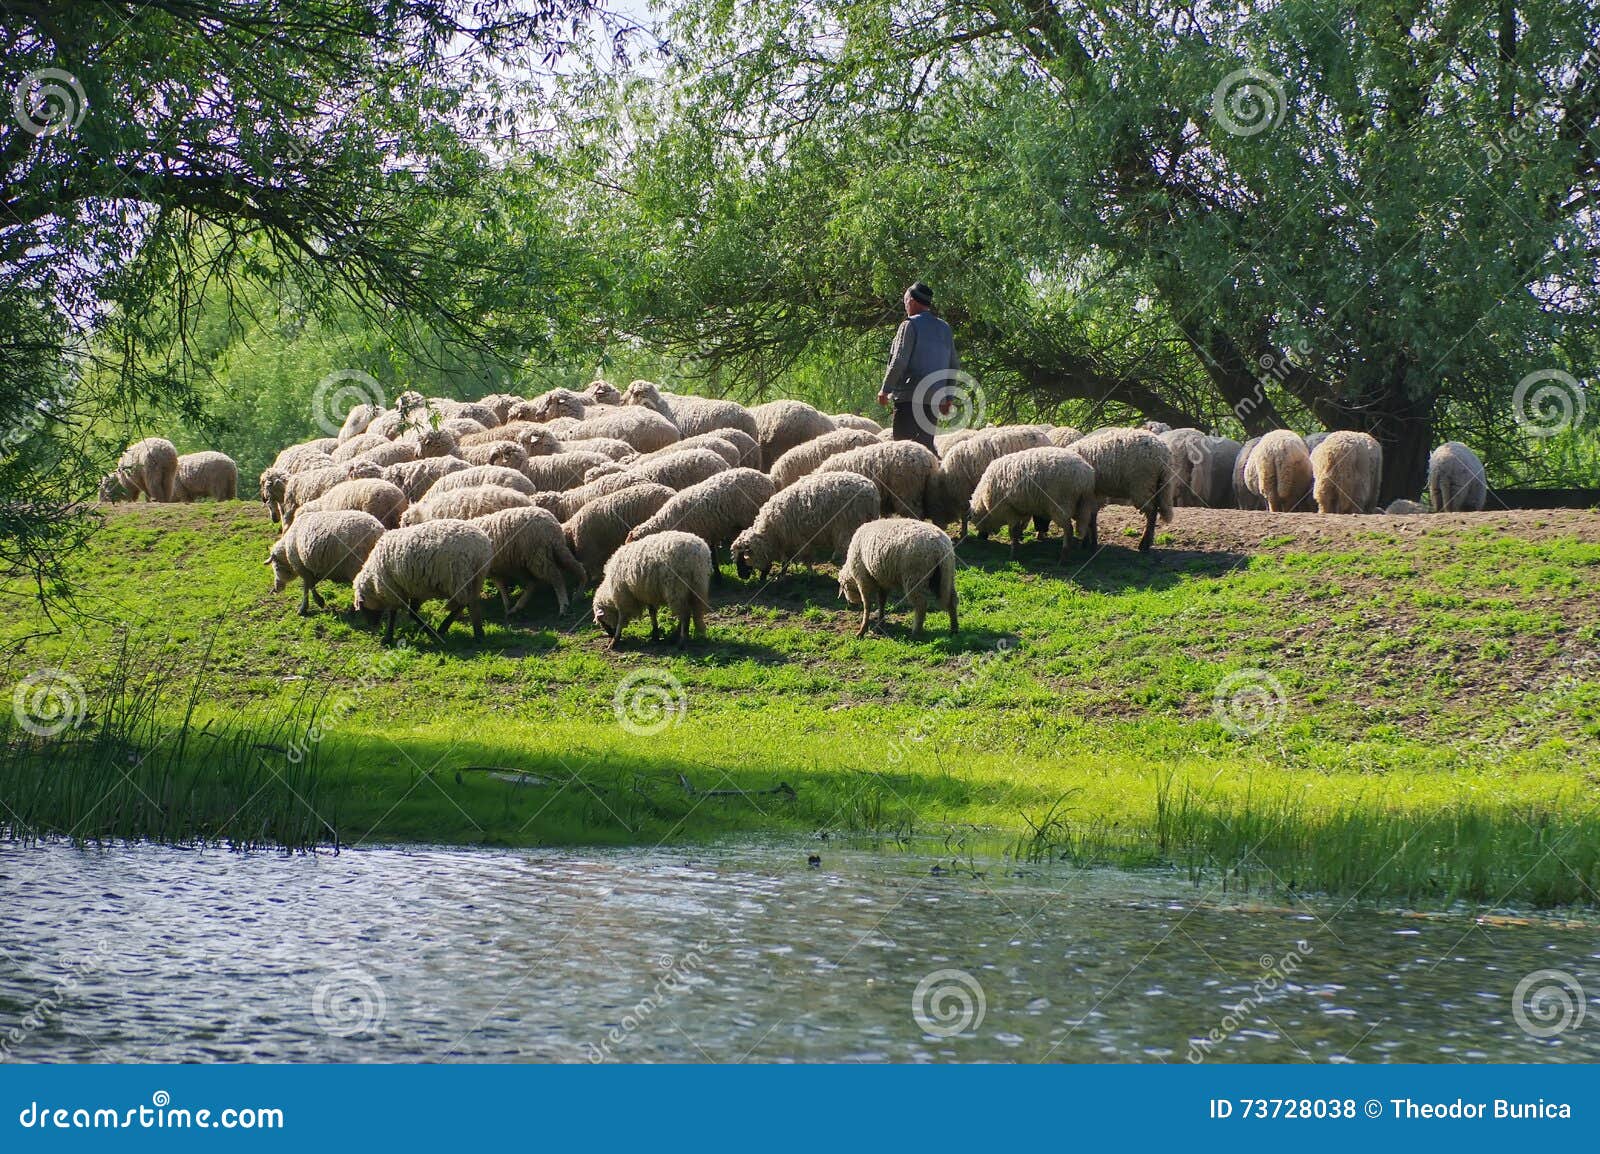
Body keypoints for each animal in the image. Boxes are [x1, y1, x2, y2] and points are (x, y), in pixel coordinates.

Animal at [352, 518, 493, 643]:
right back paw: (476, 633)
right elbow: (412, 613)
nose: (372, 627)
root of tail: (481, 547)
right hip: (475, 578)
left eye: (363, 609)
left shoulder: (393, 589)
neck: (373, 582)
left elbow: (395, 613)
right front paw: (428, 632)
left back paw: (450, 628)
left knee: (465, 602)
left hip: (459, 577)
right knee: (470, 602)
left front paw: (388, 637)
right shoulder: (416, 587)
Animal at [730, 471, 881, 580]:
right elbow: (786, 560)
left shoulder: (798, 540)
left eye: (743, 558)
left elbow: (805, 558)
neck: (771, 533)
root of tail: (872, 491)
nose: (742, 577)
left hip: (847, 527)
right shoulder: (788, 542)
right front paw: (782, 574)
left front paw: (810, 574)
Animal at [968, 447, 1097, 561]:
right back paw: (1089, 547)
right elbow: (1019, 528)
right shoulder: (1021, 509)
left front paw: (1013, 554)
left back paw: (1063, 557)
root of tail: (1086, 475)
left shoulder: (1009, 510)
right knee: (1090, 521)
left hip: (1061, 505)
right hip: (1083, 504)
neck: (984, 503)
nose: (980, 538)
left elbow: (1012, 532)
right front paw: (1018, 543)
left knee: (1069, 529)